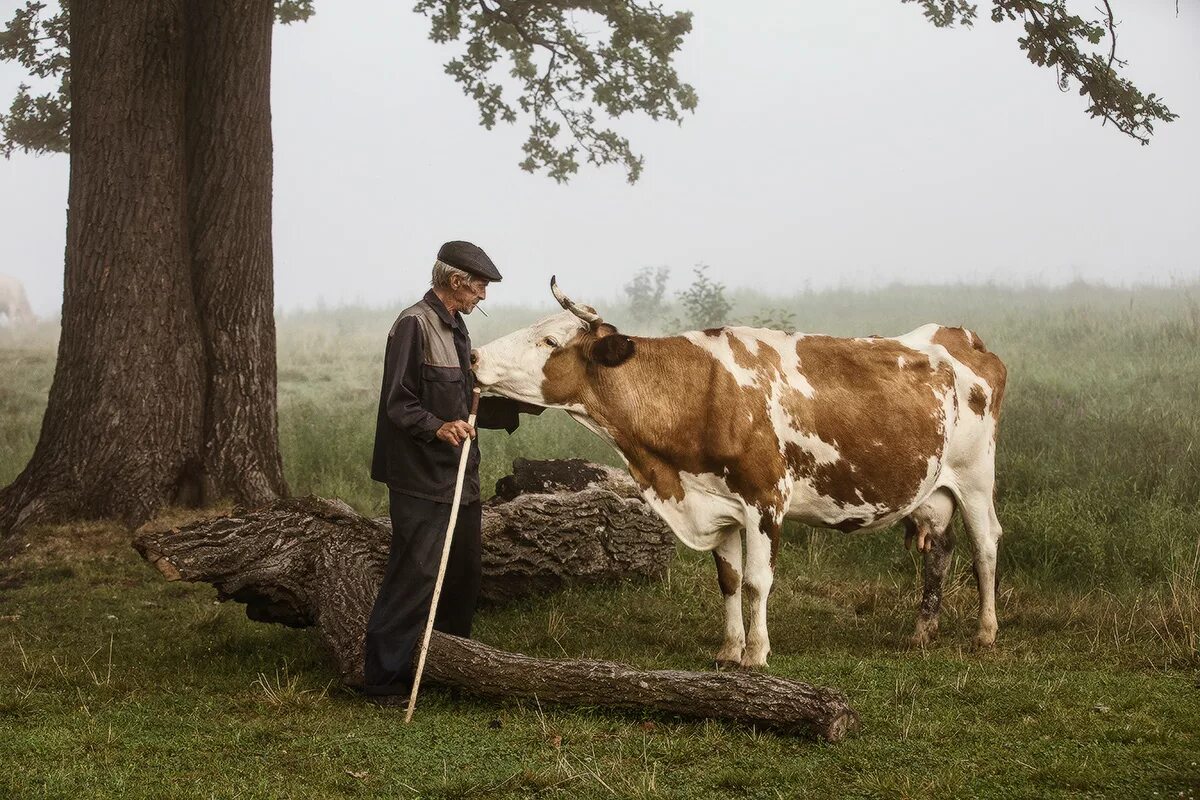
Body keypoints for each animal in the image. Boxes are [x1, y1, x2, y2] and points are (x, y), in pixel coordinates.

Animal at [472, 281, 1008, 671]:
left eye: (549, 341)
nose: (474, 358)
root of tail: (959, 335)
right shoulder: (719, 502)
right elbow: (728, 581)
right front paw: (728, 651)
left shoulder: (765, 499)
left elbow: (756, 582)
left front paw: (756, 654)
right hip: (932, 490)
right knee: (939, 550)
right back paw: (922, 632)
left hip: (976, 477)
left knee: (985, 545)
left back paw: (985, 632)